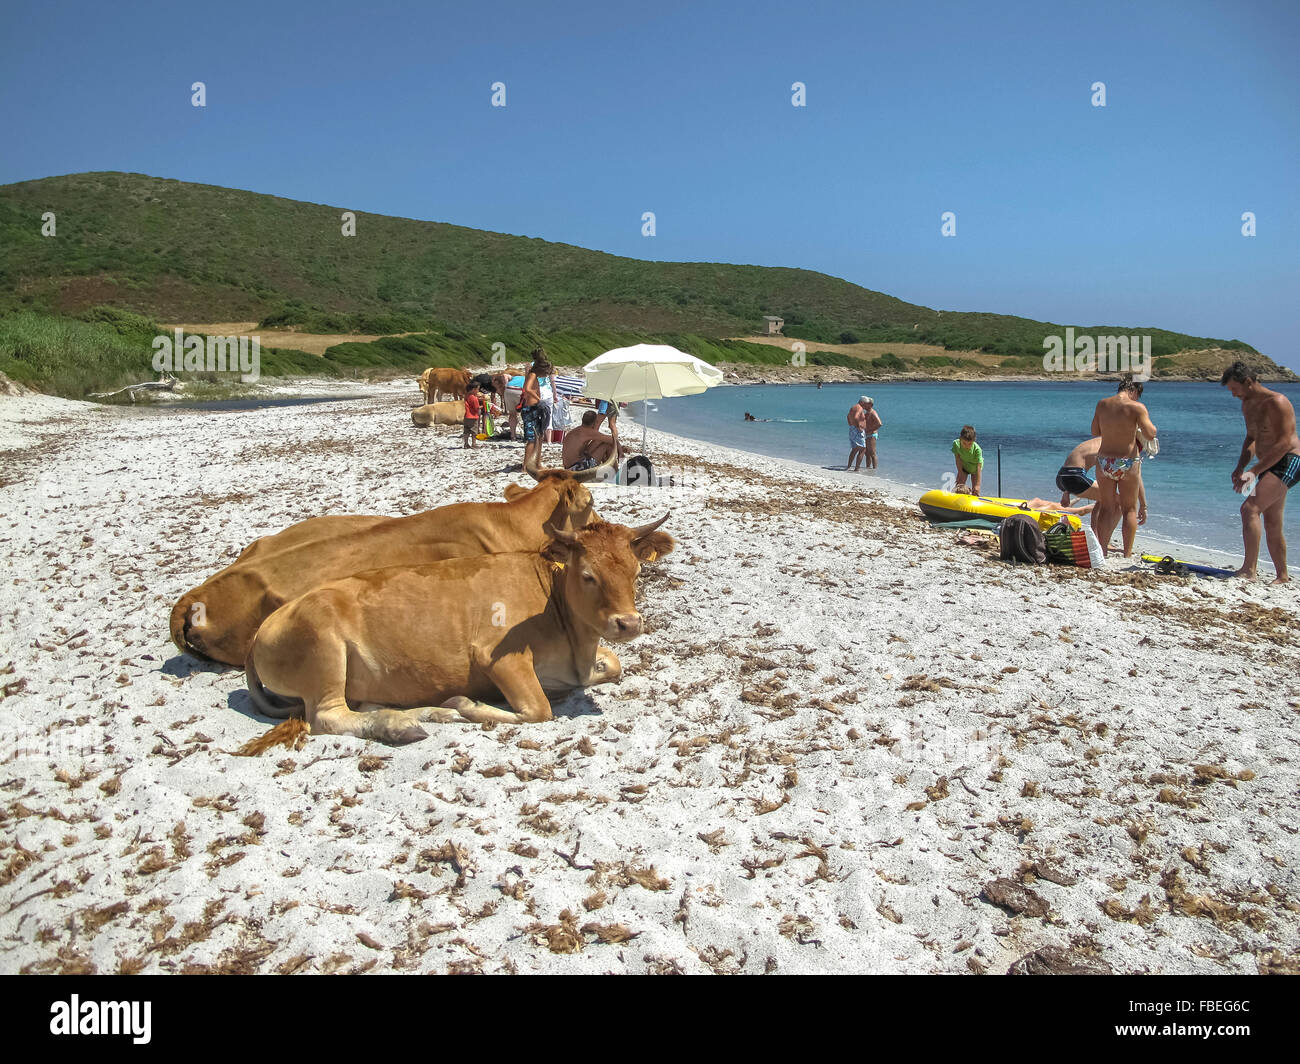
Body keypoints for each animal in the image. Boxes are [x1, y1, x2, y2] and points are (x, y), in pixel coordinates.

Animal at [243, 516, 675, 745]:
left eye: (637, 571)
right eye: (588, 575)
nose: (628, 623)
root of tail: (264, 628)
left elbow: (614, 665)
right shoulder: (495, 657)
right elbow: (539, 711)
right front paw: (469, 704)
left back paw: (424, 712)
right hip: (323, 647)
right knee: (326, 717)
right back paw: (399, 724)